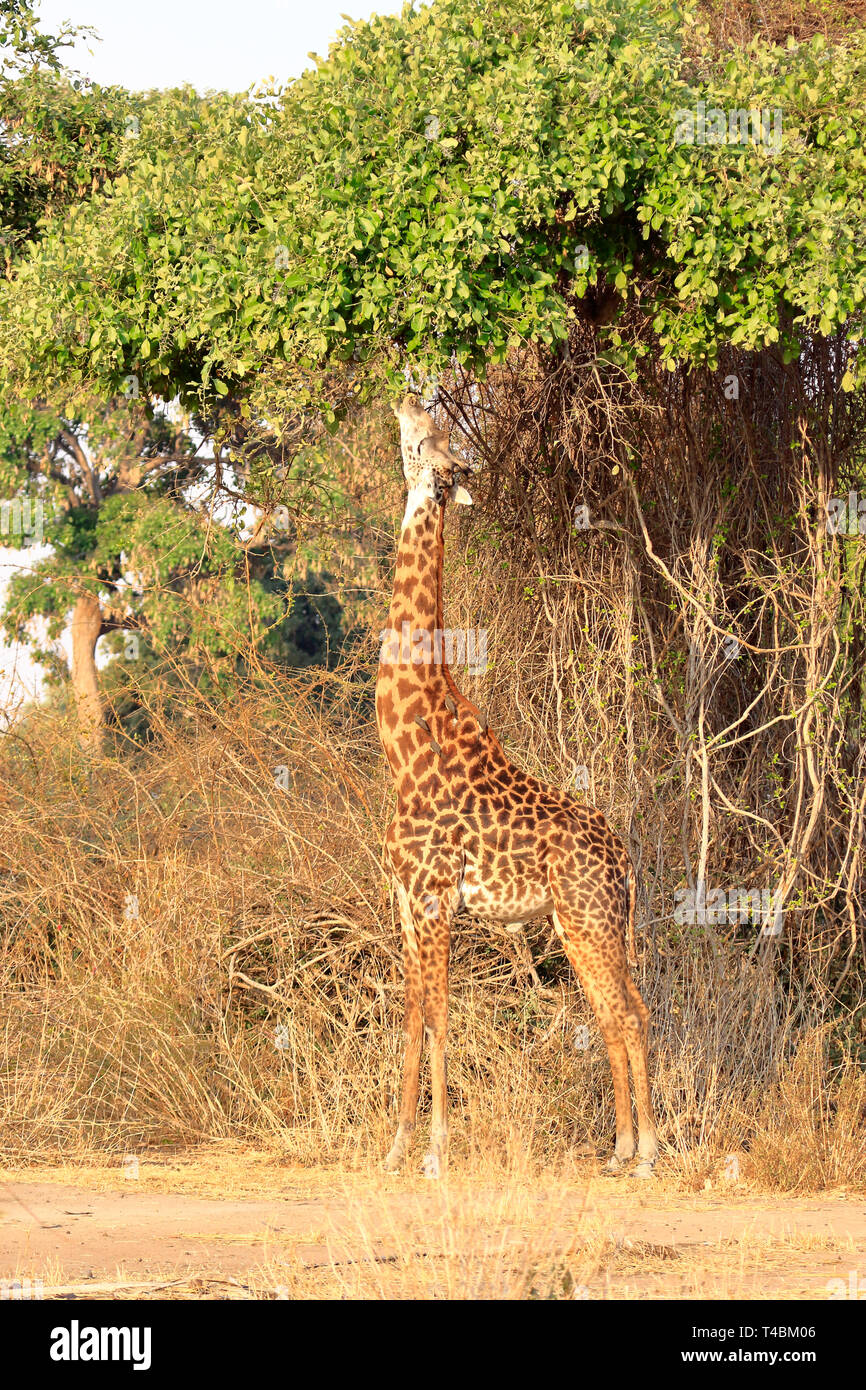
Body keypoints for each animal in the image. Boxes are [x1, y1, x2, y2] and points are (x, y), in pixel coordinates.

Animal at [375, 395, 658, 1180]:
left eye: (427, 441)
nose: (408, 395)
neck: (403, 745)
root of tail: (626, 862)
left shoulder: (435, 898)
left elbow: (441, 1016)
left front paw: (437, 1152)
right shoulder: (404, 901)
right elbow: (411, 1017)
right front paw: (395, 1147)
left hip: (589, 920)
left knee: (623, 1013)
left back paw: (644, 1152)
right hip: (583, 923)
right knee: (624, 1010)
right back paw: (624, 1150)